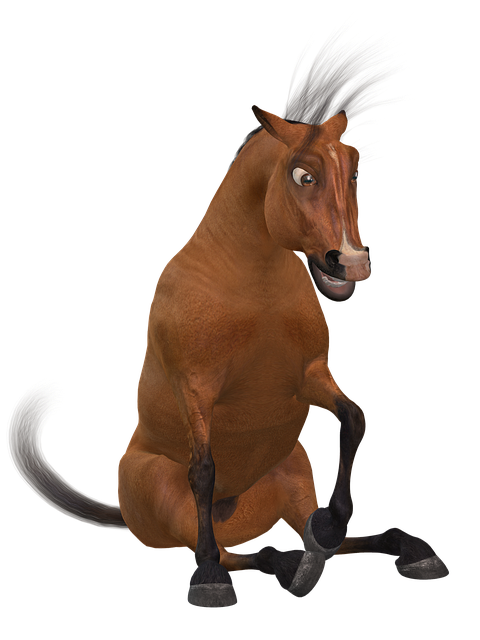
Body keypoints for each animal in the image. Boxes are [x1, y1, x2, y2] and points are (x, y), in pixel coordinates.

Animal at [7, 16, 449, 608]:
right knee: (225, 545)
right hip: (169, 503)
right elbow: (204, 469)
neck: (254, 289)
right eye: (303, 175)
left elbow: (354, 419)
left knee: (315, 537)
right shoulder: (196, 387)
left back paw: (386, 549)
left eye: (354, 173)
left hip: (291, 477)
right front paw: (209, 582)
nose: (352, 264)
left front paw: (332, 524)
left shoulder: (310, 375)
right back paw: (260, 567)